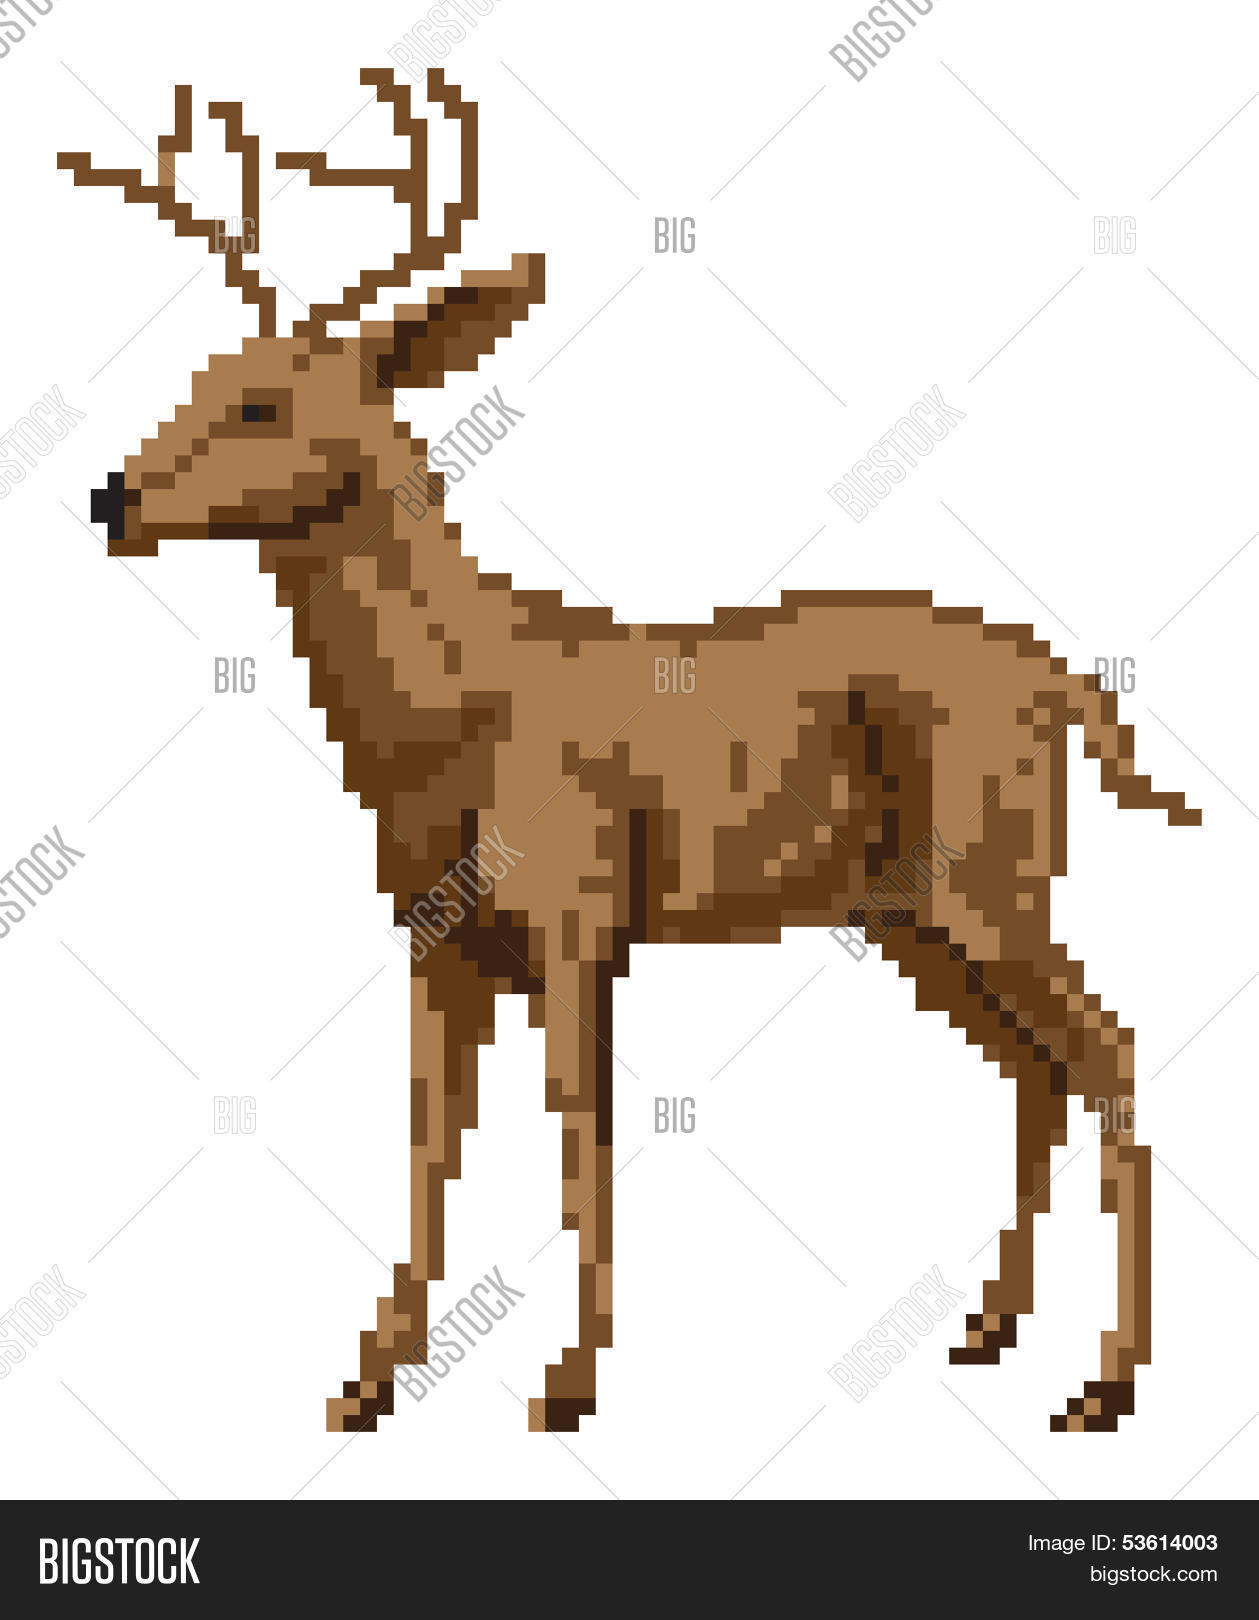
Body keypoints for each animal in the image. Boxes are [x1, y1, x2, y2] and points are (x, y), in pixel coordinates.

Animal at [60, 65, 1200, 1437]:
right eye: (198, 374)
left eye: (263, 402)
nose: (110, 498)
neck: (445, 727)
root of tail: (1063, 686)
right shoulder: (433, 937)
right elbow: (429, 1133)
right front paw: (366, 1381)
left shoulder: (577, 911)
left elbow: (579, 1125)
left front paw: (568, 1382)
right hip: (909, 913)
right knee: (1033, 1070)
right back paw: (986, 1336)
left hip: (988, 869)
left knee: (1108, 1046)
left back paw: (1103, 1384)